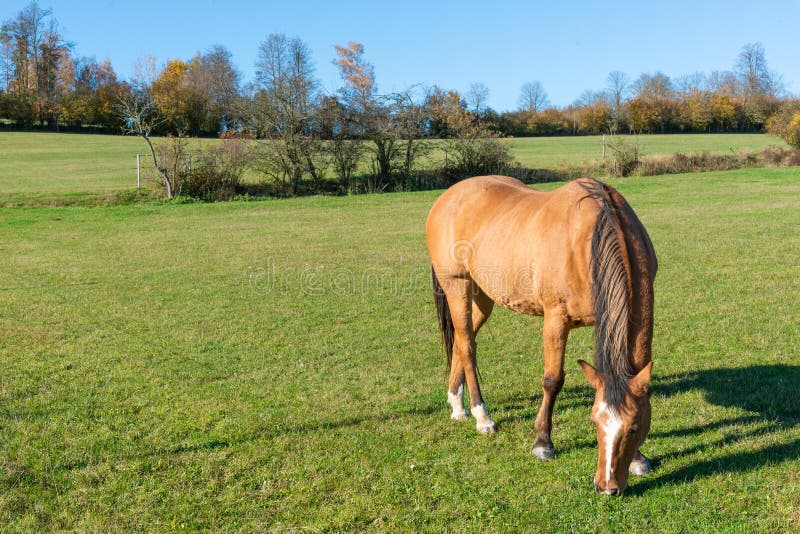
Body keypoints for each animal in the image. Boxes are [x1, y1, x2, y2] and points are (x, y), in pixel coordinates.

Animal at [426, 175, 657, 496]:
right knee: (468, 347)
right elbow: (552, 380)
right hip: (456, 286)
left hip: (482, 295)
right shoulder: (555, 318)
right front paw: (543, 443)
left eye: (634, 427)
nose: (606, 486)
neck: (591, 239)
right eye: (594, 422)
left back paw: (457, 404)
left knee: (462, 341)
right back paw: (481, 415)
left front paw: (638, 459)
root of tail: (448, 196)